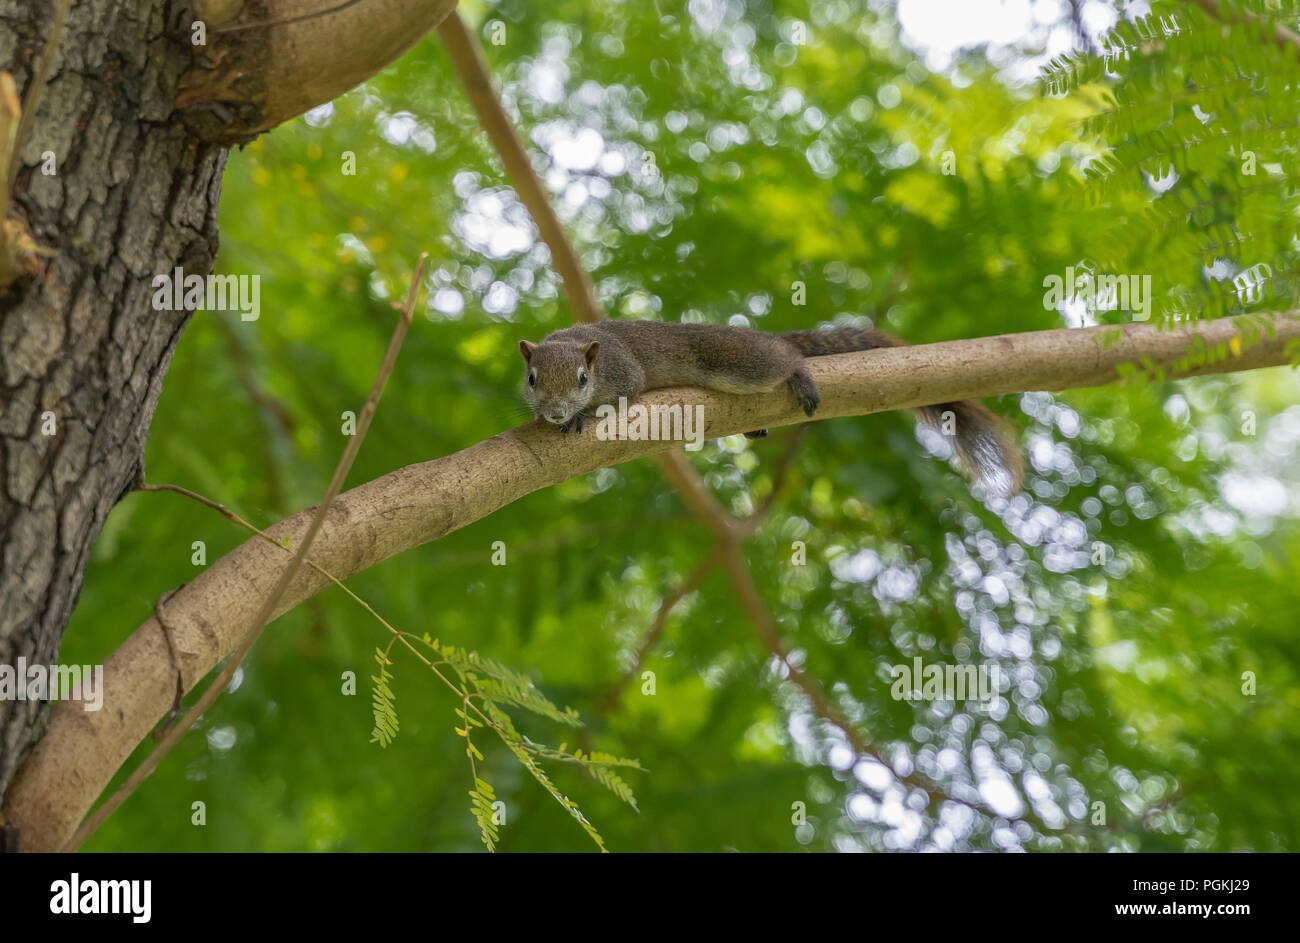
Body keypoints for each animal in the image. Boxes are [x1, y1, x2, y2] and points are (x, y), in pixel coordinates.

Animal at [518, 319, 1023, 492]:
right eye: (531, 379)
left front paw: (583, 415)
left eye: (583, 379)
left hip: (743, 362)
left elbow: (628, 390)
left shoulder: (624, 371)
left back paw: (798, 371)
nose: (558, 410)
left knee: (784, 359)